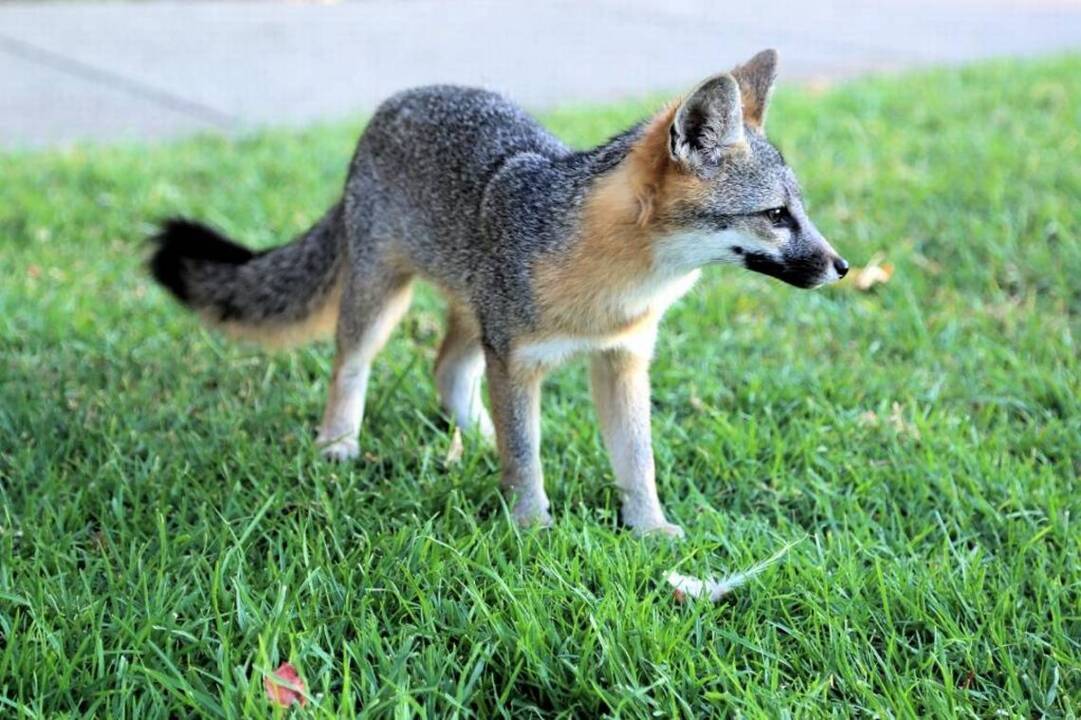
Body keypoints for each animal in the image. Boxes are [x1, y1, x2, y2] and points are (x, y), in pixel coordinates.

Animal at [149, 49, 847, 537]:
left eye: (800, 212)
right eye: (777, 215)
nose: (841, 267)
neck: (610, 288)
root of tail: (398, 100)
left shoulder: (621, 359)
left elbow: (636, 462)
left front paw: (649, 530)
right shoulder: (516, 358)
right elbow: (528, 457)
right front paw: (532, 527)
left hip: (471, 313)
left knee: (446, 370)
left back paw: (478, 435)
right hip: (384, 303)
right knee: (351, 366)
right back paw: (339, 444)